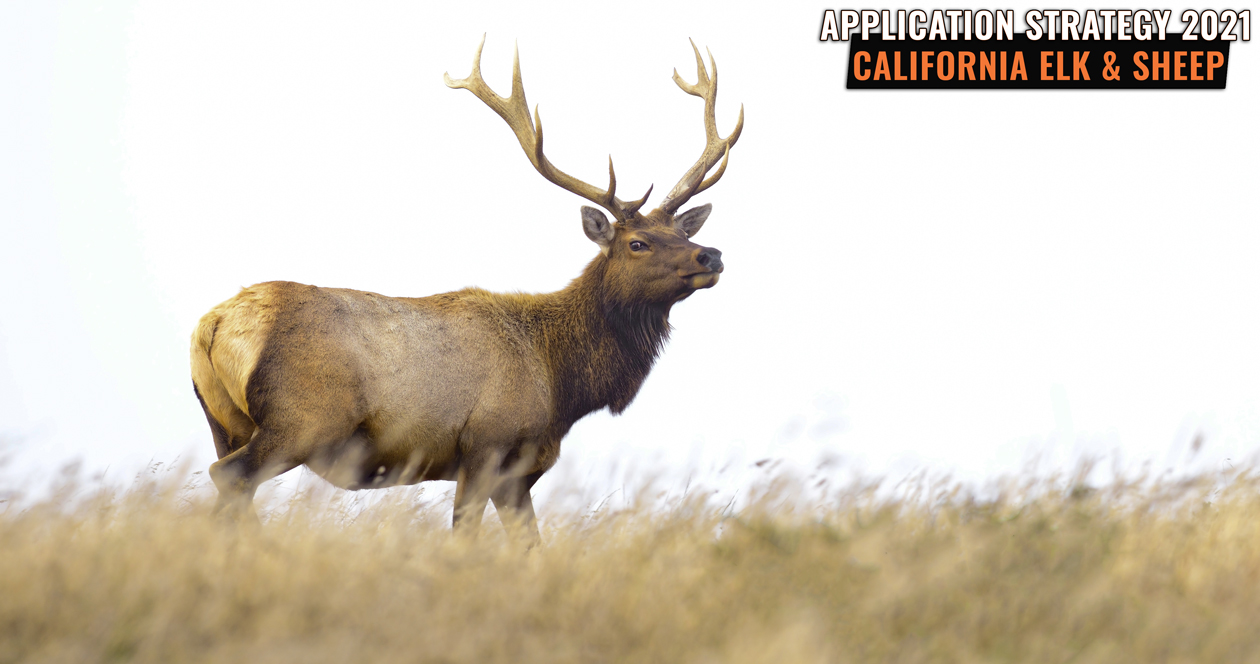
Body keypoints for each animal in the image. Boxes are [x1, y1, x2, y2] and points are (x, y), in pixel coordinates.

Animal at [190, 37, 742, 542]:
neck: (560, 382)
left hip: (226, 424)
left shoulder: (520, 471)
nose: (711, 256)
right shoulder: (485, 446)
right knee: (230, 478)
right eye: (637, 243)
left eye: (682, 234)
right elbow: (463, 540)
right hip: (301, 421)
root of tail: (212, 325)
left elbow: (530, 547)